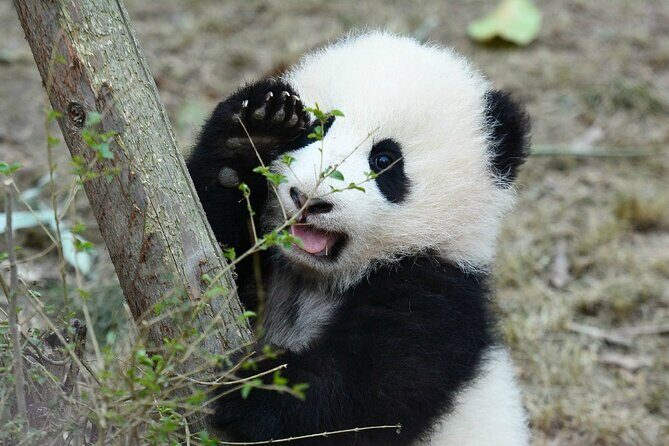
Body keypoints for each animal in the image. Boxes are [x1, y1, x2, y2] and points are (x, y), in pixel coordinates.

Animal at [187, 31, 531, 446]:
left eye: (384, 160)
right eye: (318, 128)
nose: (309, 198)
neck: (315, 277)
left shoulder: (437, 292)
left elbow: (370, 395)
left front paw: (253, 388)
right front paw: (253, 132)